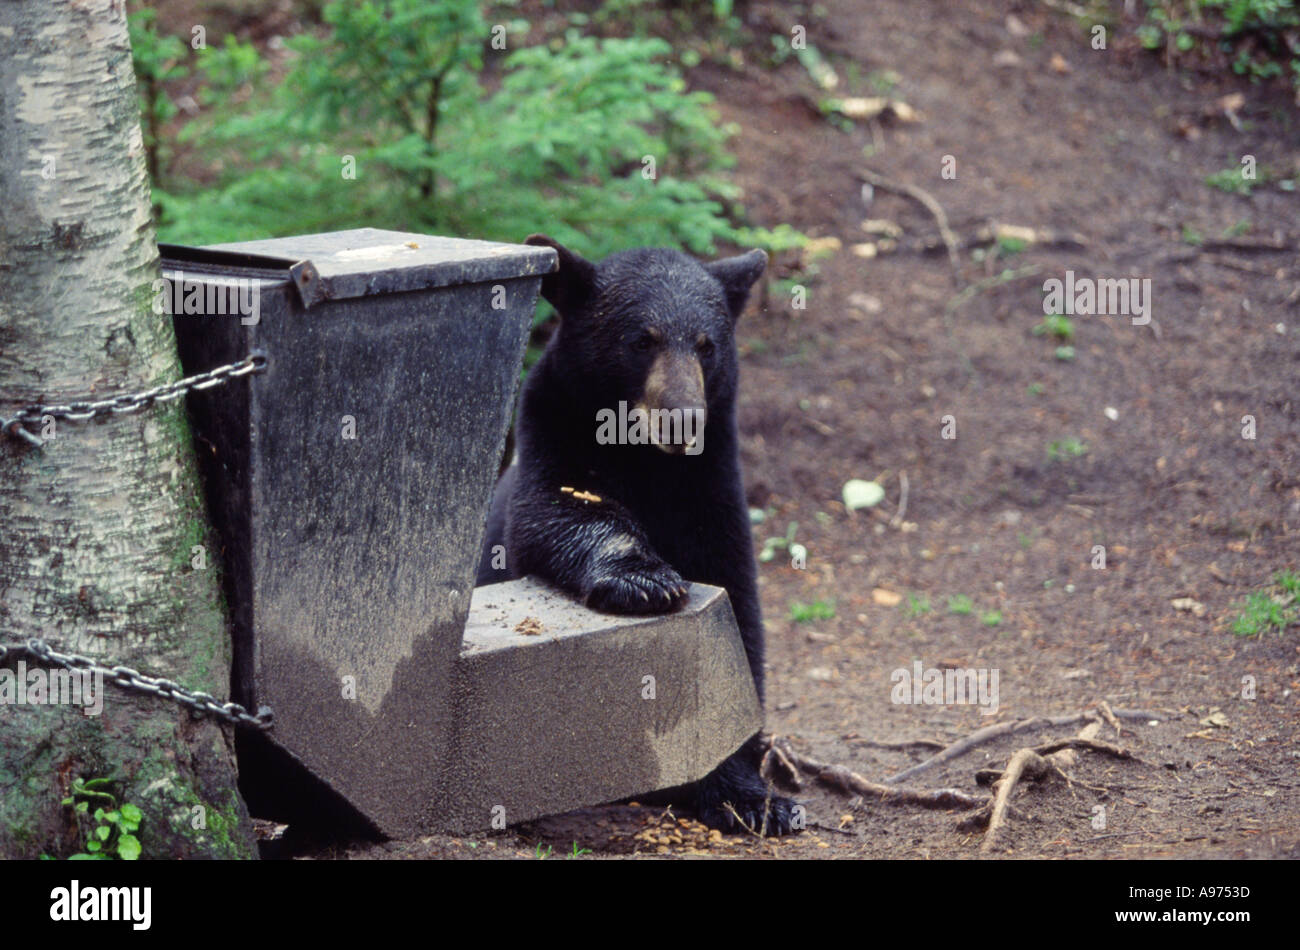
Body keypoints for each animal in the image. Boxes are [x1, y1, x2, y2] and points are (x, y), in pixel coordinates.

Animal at [475, 233, 797, 836]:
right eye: (641, 341)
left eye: (707, 346)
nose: (683, 419)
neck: (646, 462)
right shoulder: (553, 433)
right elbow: (557, 510)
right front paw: (646, 580)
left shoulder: (711, 484)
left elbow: (737, 616)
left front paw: (751, 797)